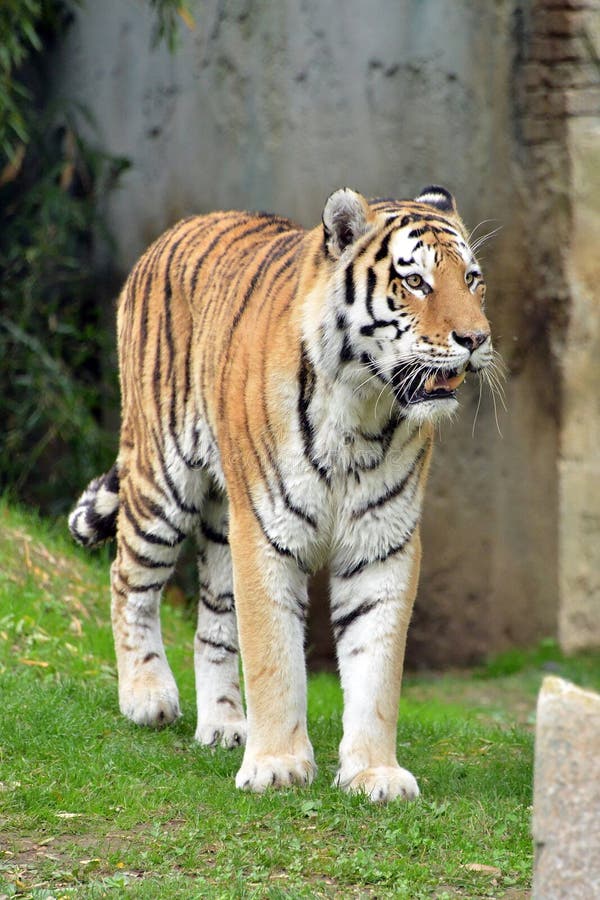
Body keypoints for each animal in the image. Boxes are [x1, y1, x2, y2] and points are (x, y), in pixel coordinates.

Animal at [69, 185, 494, 803]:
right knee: (129, 579)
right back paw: (147, 695)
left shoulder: (382, 543)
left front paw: (374, 773)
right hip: (164, 482)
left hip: (223, 520)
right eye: (415, 281)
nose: (476, 339)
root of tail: (175, 231)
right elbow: (274, 656)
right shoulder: (266, 535)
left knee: (213, 623)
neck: (362, 411)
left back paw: (224, 723)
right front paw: (278, 765)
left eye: (473, 279)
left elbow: (376, 668)